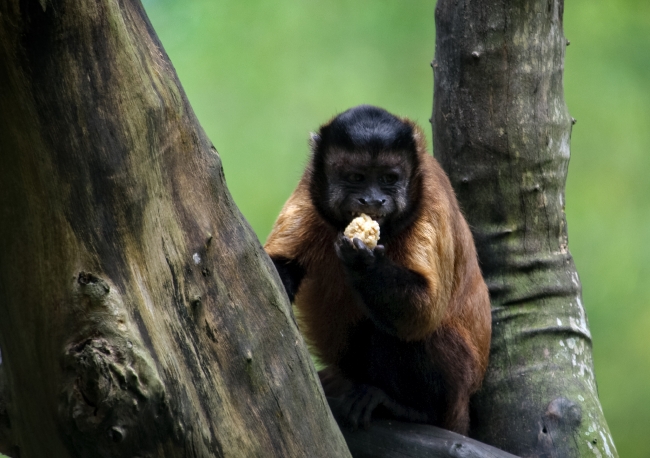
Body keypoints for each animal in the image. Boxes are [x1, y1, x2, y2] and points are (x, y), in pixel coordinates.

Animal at [264, 105, 491, 435]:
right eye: (356, 177)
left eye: (388, 178)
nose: (372, 199)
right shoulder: (309, 188)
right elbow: (279, 269)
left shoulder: (431, 201)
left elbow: (423, 314)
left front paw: (363, 263)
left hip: (457, 385)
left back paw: (412, 409)